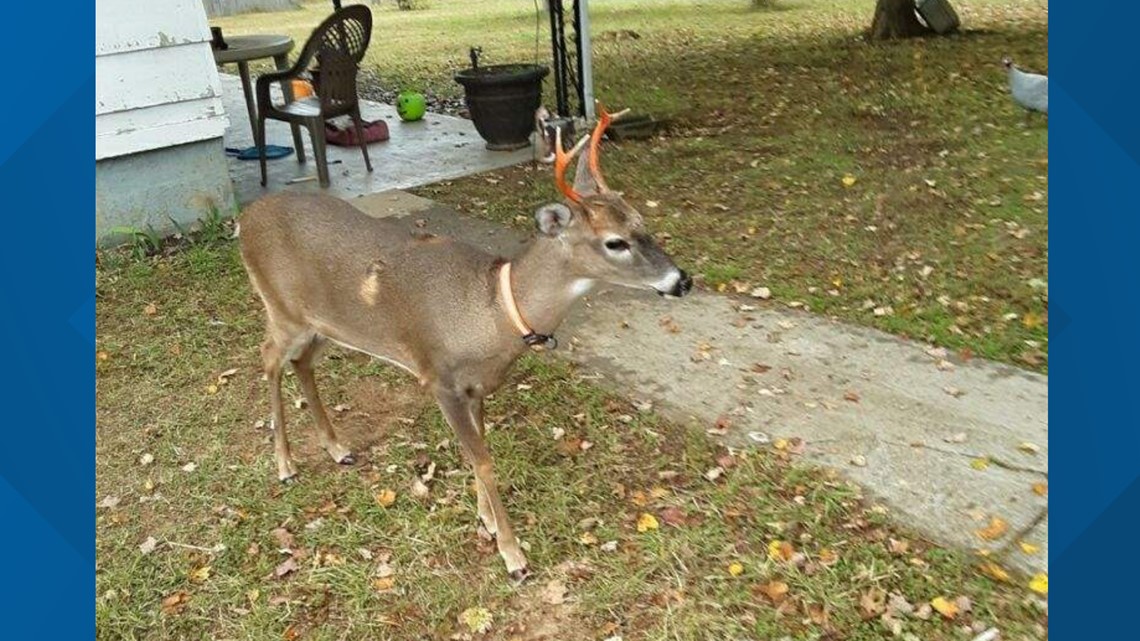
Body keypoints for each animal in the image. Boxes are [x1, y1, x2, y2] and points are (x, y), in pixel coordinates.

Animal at [238, 103, 693, 580]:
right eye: (614, 242)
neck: (492, 314)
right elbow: (482, 458)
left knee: (301, 362)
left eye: (642, 222)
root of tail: (244, 220)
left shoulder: (476, 387)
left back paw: (338, 448)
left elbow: (480, 451)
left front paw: (487, 520)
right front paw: (513, 555)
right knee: (268, 357)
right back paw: (285, 465)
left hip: (325, 324)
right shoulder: (440, 380)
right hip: (282, 309)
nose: (682, 281)